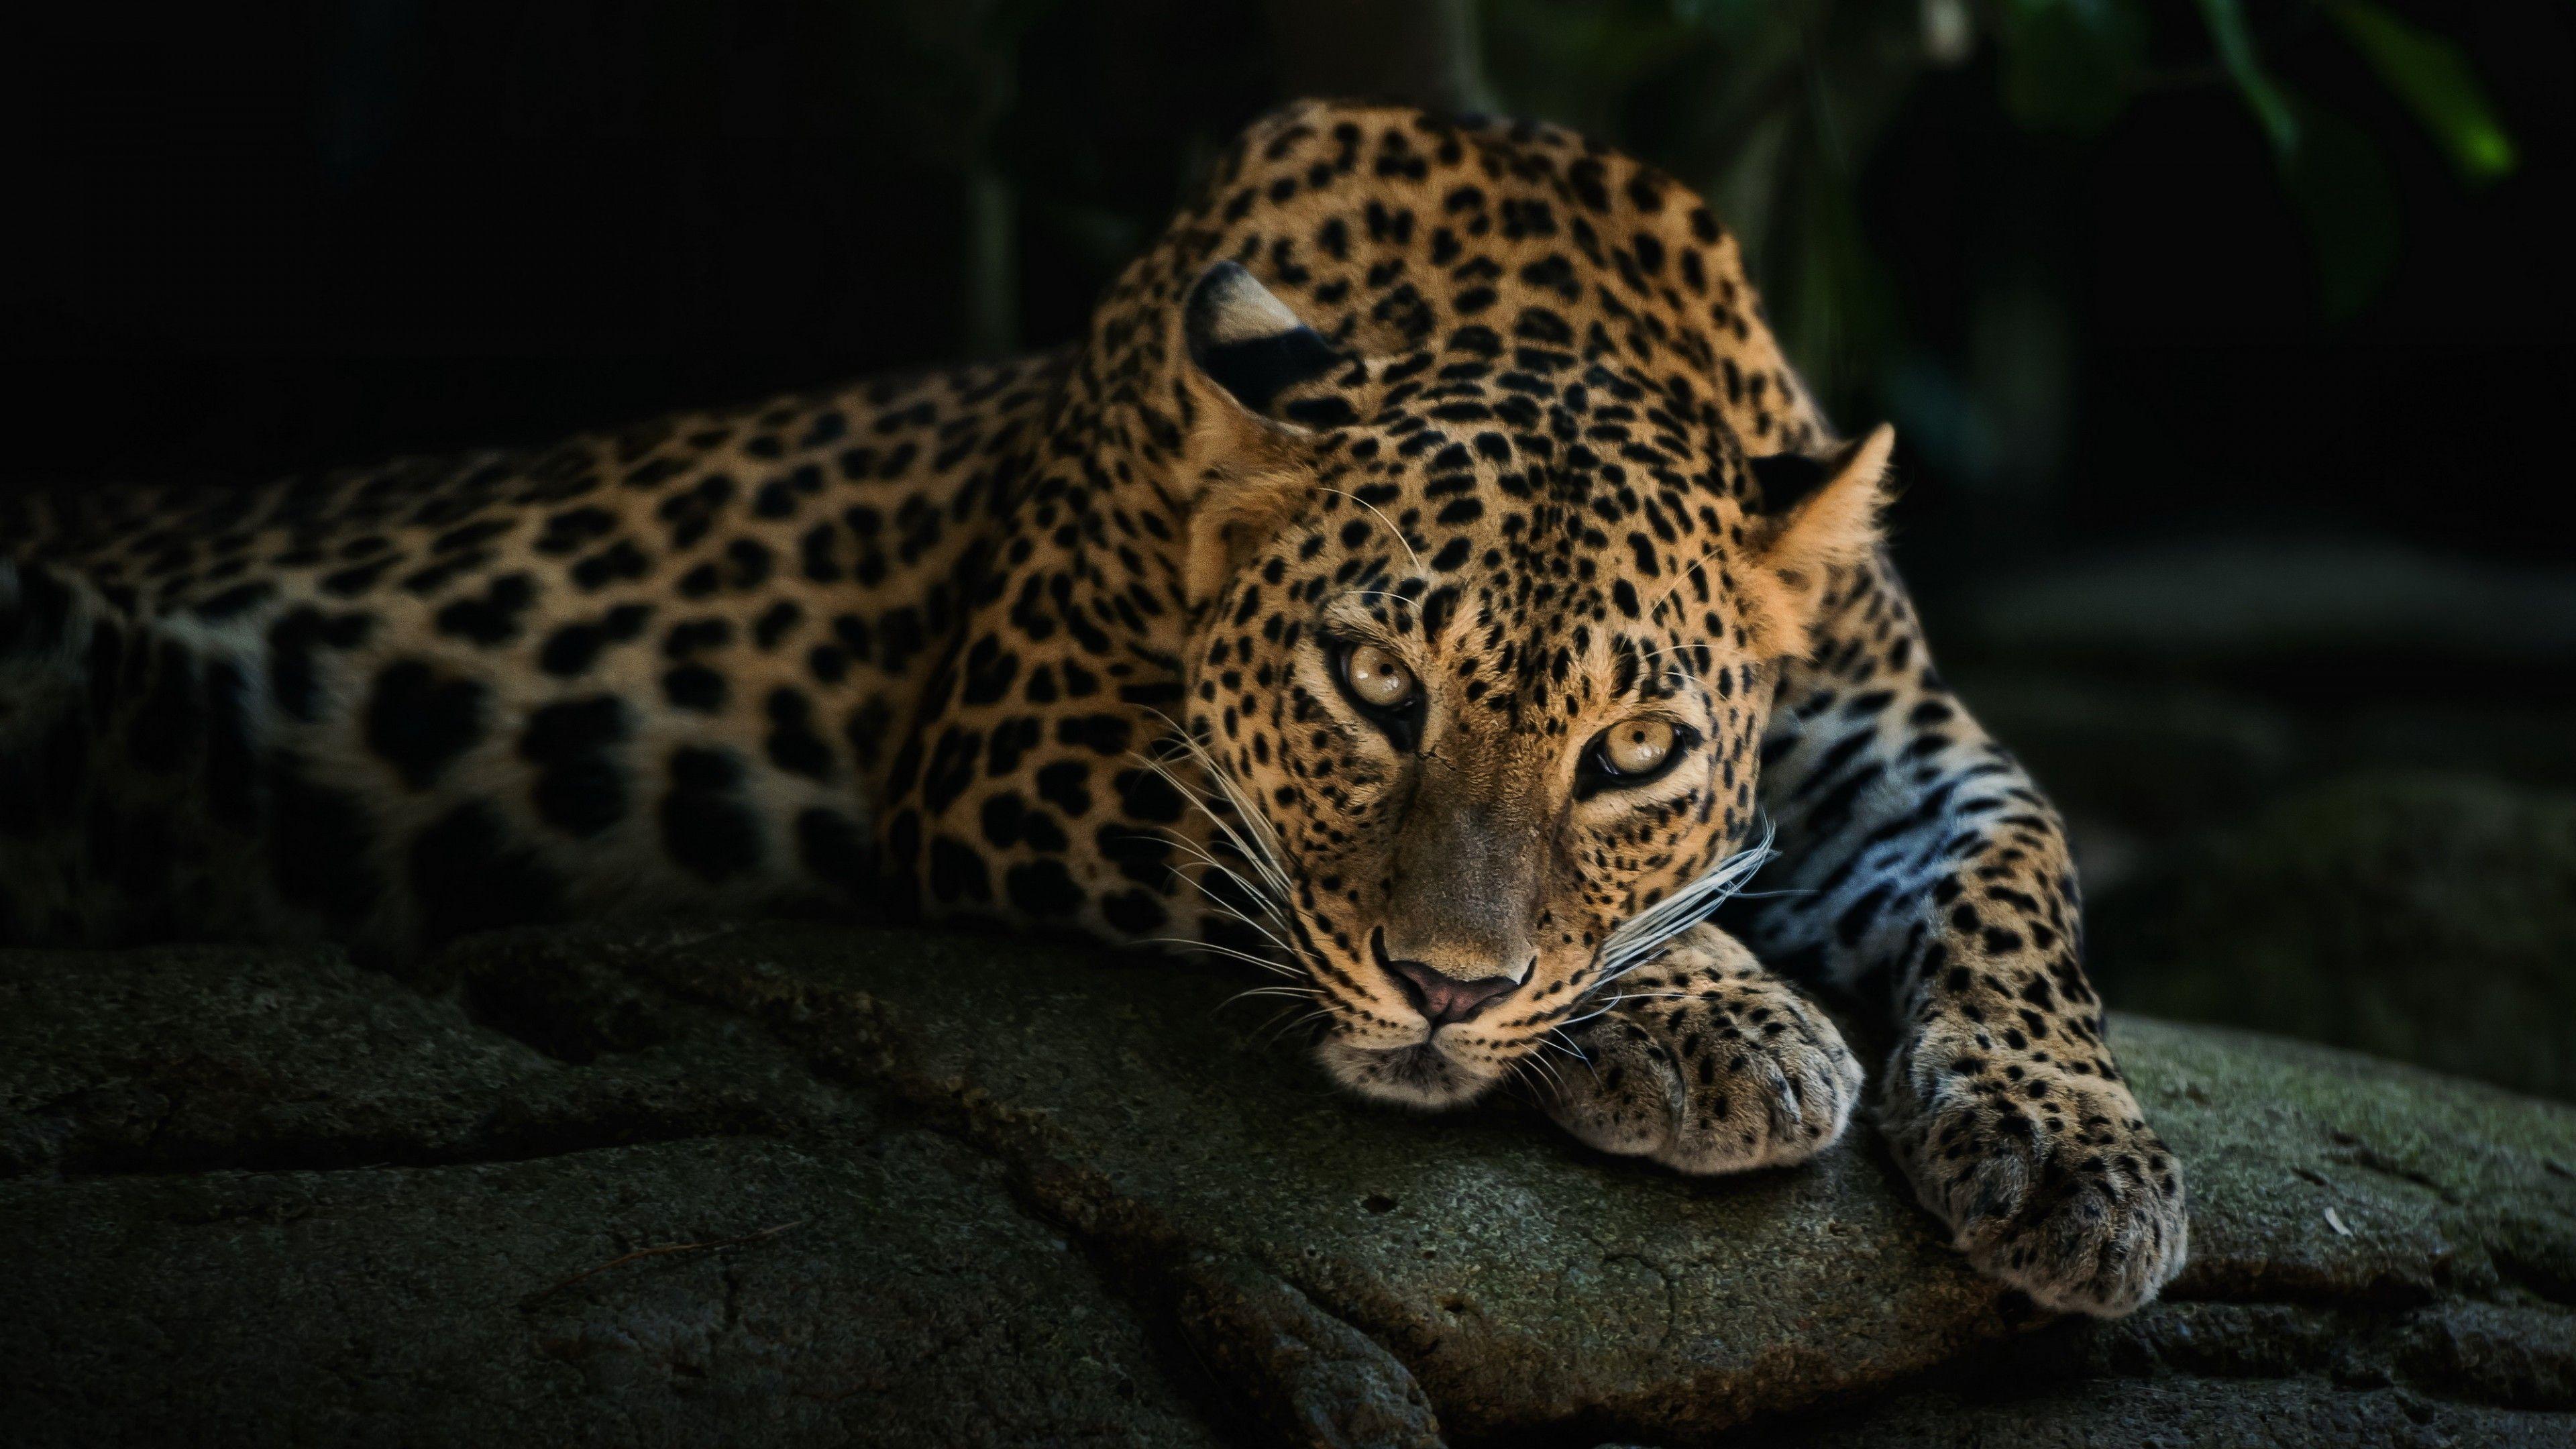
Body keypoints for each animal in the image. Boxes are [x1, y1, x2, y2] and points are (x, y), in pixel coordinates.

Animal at [0, 99, 2185, 1316]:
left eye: (1632, 750)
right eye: (1369, 684)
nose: (1448, 995)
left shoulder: (1910, 753)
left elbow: (2026, 888)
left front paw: (2075, 1157)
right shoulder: (1012, 740)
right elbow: (1280, 861)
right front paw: (1723, 1020)